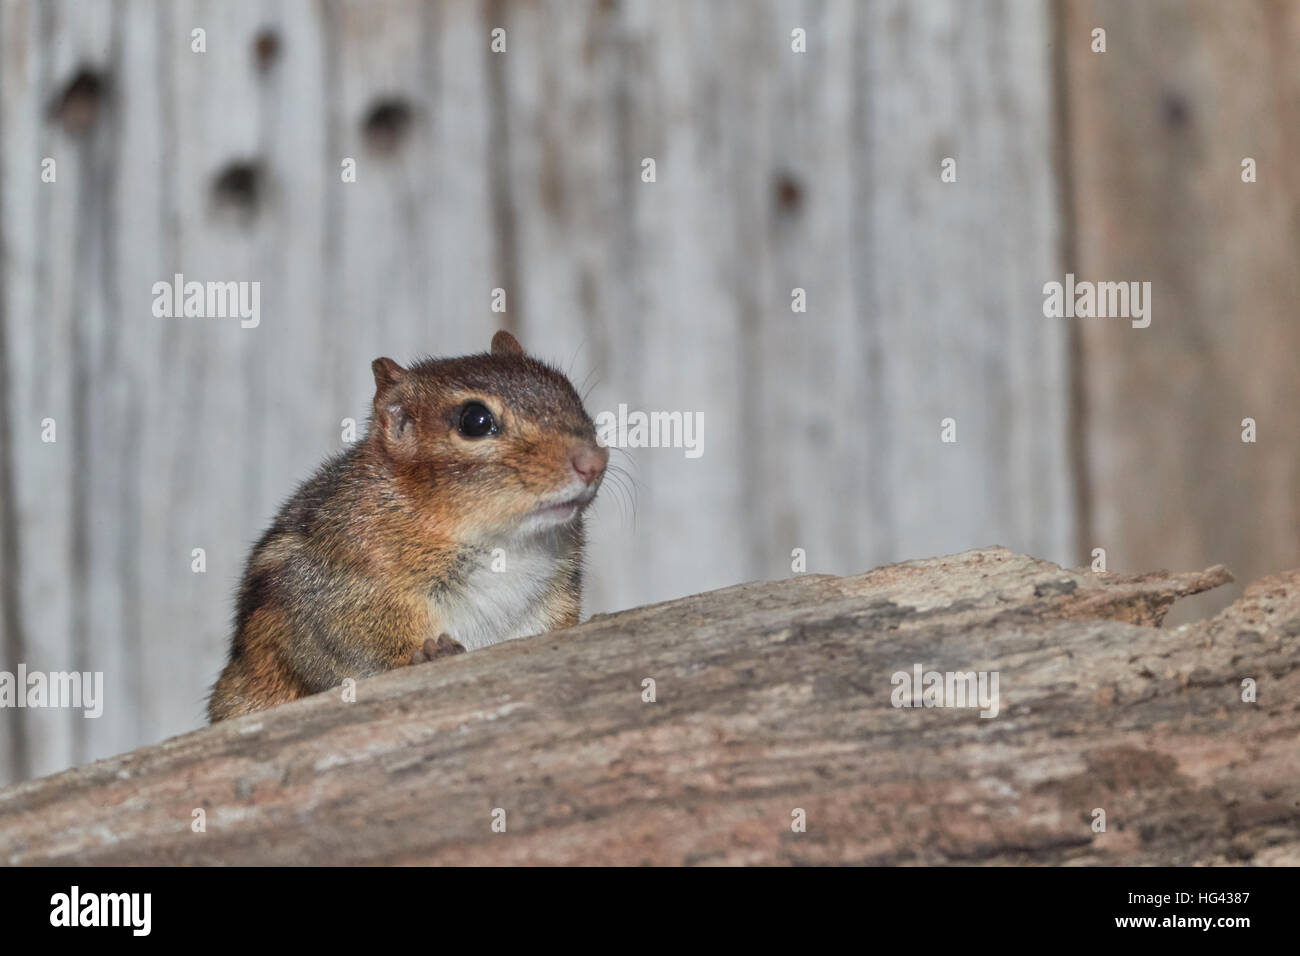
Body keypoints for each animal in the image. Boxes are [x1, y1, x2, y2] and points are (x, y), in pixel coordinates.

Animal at [207, 331, 608, 722]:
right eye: (475, 420)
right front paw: (429, 654)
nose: (594, 462)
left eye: (567, 390)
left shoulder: (555, 596)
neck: (505, 543)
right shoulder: (340, 595)